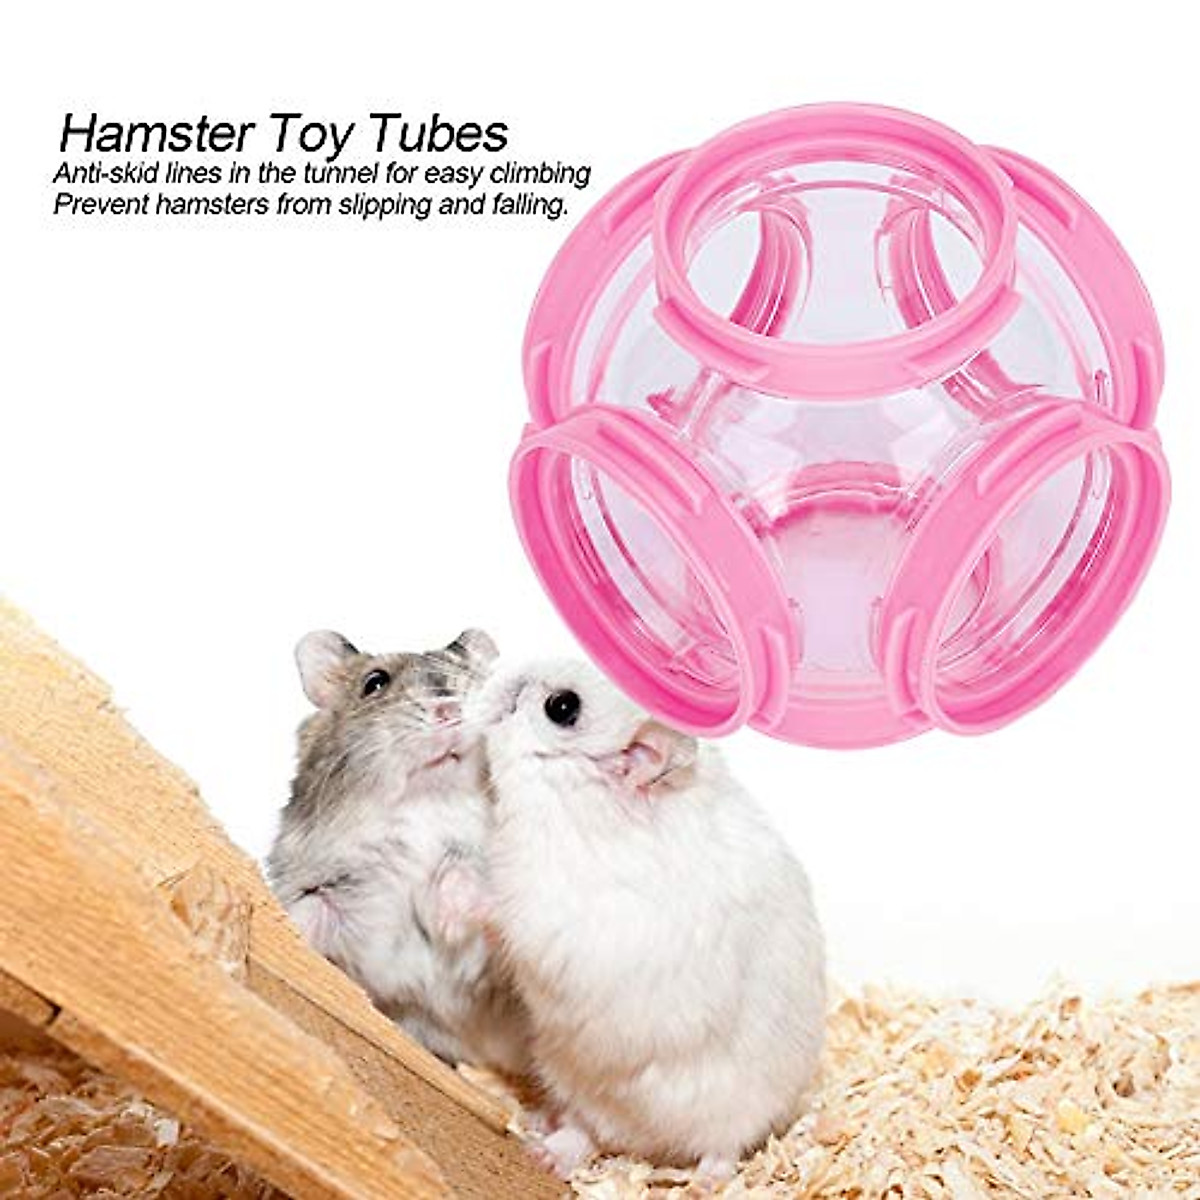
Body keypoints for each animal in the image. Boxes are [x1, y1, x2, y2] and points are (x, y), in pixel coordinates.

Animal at [267, 628, 528, 1075]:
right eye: (375, 683)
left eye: (476, 680)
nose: (450, 709)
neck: (427, 804)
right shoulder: (326, 884)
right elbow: (312, 908)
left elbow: (467, 873)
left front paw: (448, 922)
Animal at [467, 658, 826, 1179]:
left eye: (562, 707)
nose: (501, 675)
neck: (581, 805)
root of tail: (646, 1142)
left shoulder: (555, 922)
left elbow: (502, 914)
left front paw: (449, 890)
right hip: (569, 1075)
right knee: (581, 1132)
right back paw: (542, 1145)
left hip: (736, 1106)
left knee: (722, 1147)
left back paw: (703, 1182)